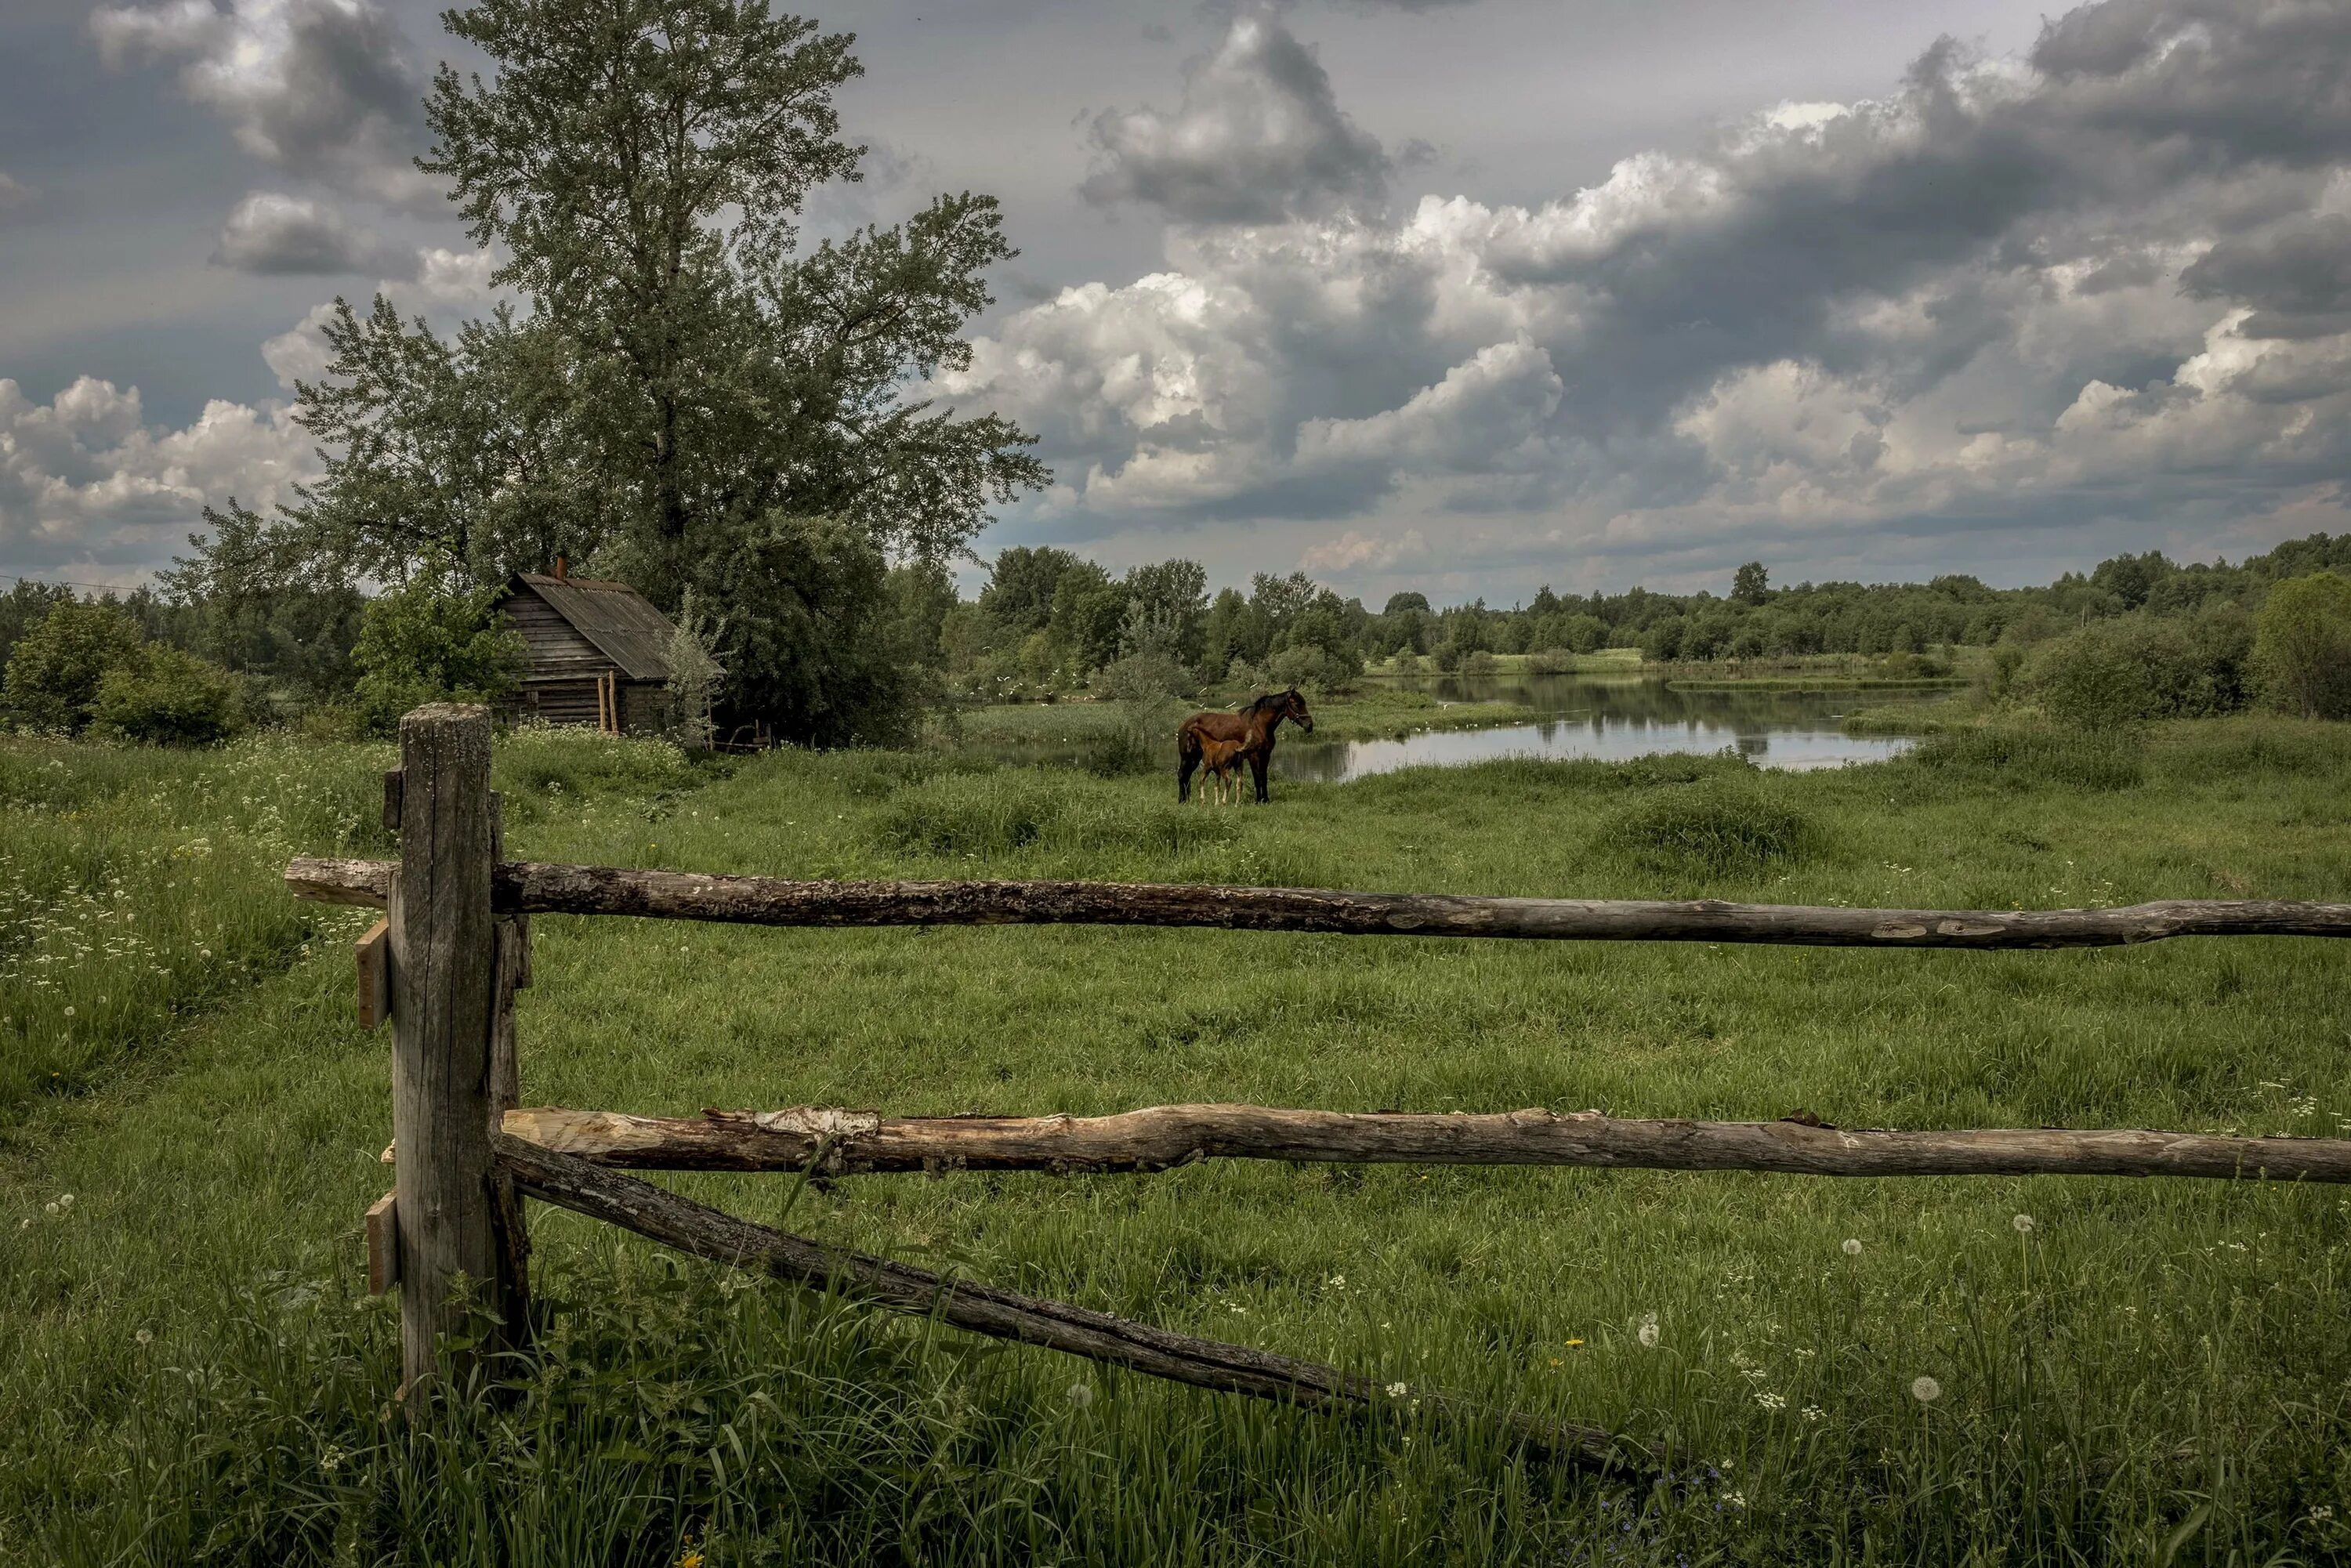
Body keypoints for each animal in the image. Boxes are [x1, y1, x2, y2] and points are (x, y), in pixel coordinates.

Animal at [1185, 691, 1317, 804]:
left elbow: (1264, 778)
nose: (1310, 726)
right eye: (1297, 704)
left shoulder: (1266, 756)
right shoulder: (1254, 756)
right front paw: (1258, 800)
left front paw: (1266, 800)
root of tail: (1186, 723)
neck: (1259, 725)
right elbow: (1257, 778)